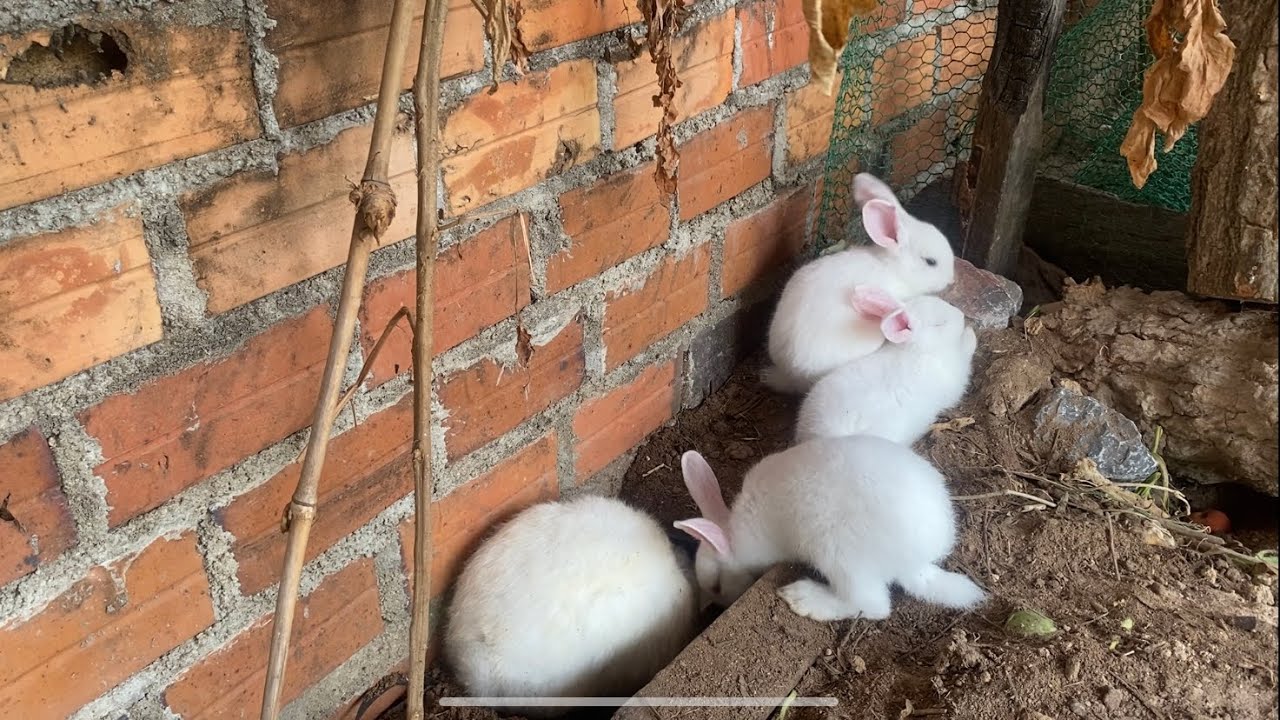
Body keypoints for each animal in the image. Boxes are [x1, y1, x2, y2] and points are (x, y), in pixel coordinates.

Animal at [672, 435, 986, 622]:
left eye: (716, 585)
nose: (718, 606)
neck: (735, 534)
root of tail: (917, 563)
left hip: (838, 555)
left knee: (872, 605)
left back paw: (803, 598)